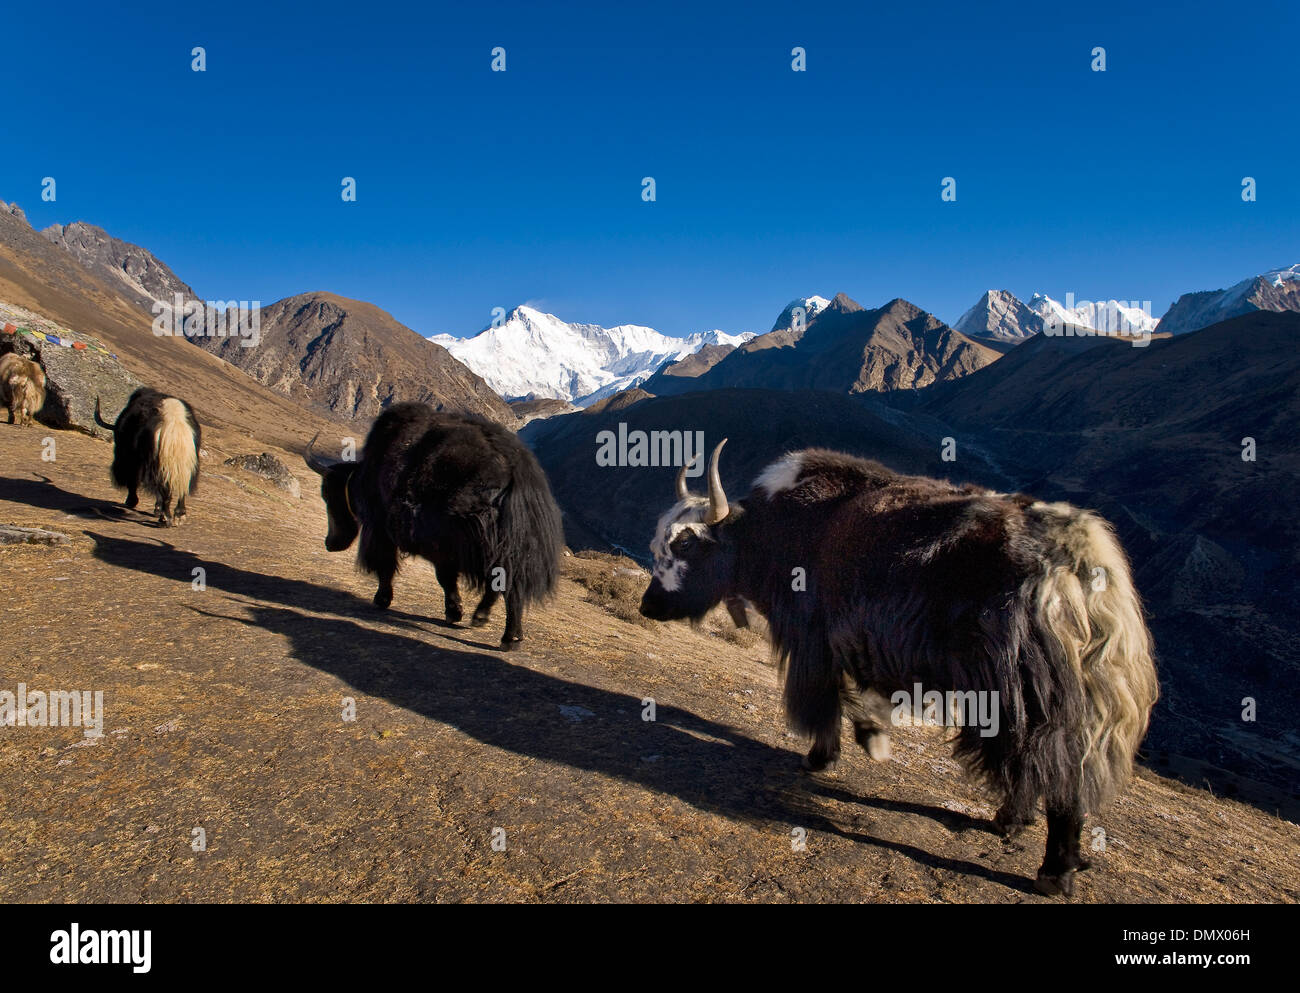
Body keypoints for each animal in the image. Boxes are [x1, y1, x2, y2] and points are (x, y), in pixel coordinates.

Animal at [94, 388, 201, 527]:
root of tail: (174, 420)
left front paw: (132, 501)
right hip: (183, 463)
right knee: (181, 486)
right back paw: (178, 516)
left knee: (162, 487)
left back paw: (165, 518)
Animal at [304, 402, 564, 649]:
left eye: (328, 496)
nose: (330, 543)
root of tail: (516, 472)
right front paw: (456, 612)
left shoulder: (386, 531)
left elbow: (395, 567)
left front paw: (385, 599)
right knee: (504, 581)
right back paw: (489, 622)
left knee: (504, 581)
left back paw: (507, 636)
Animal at [640, 441, 1159, 896]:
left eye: (687, 546)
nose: (649, 606)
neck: (768, 533)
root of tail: (1079, 560)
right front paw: (870, 738)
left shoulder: (813, 638)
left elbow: (826, 698)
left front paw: (820, 758)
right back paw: (1015, 823)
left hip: (1022, 687)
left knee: (1054, 763)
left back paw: (1051, 868)